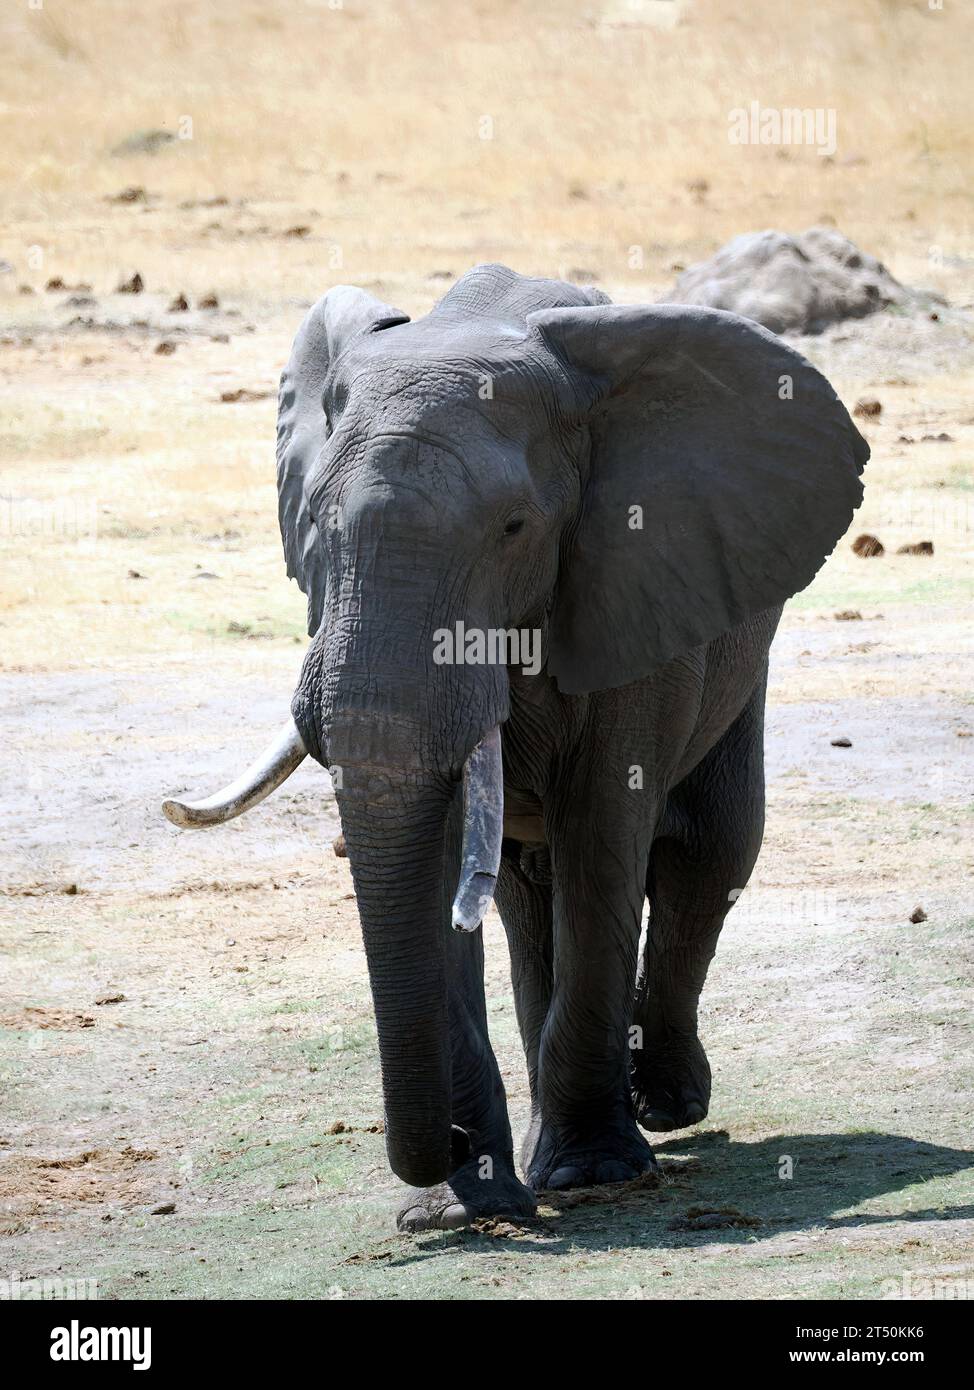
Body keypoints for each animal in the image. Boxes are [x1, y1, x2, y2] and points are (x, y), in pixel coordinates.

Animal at [164, 264, 868, 1232]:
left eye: (513, 529)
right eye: (313, 525)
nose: (452, 1148)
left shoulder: (628, 569)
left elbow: (605, 827)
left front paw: (592, 1175)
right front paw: (463, 1204)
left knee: (708, 850)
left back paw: (662, 1107)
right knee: (526, 897)